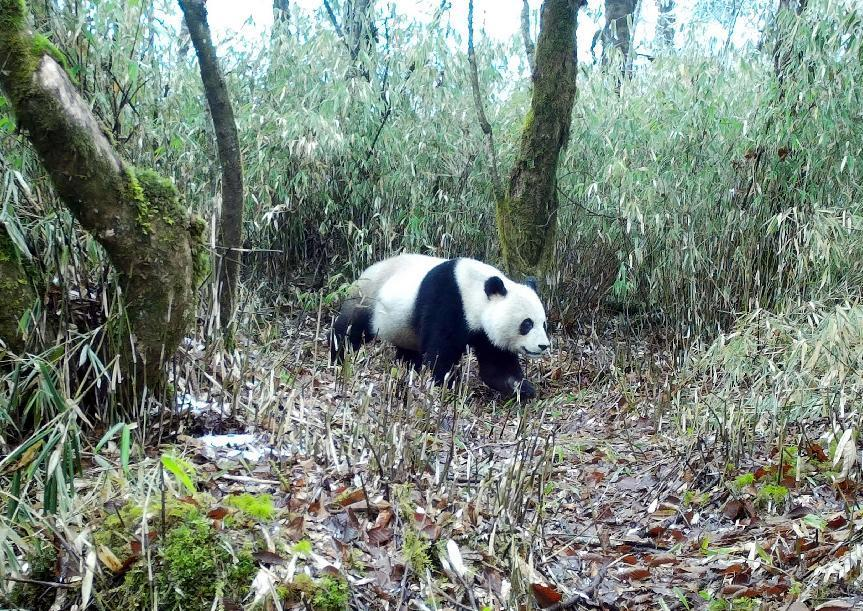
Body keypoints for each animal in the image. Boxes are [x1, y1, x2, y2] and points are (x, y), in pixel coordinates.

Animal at [330, 254, 550, 398]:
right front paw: (447, 385)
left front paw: (522, 388)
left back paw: (409, 370)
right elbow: (441, 351)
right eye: (527, 324)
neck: (474, 290)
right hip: (368, 298)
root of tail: (365, 271)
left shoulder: (485, 332)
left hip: (402, 326)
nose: (543, 346)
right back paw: (338, 356)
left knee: (408, 352)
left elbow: (496, 365)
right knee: (350, 330)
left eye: (544, 323)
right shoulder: (448, 302)